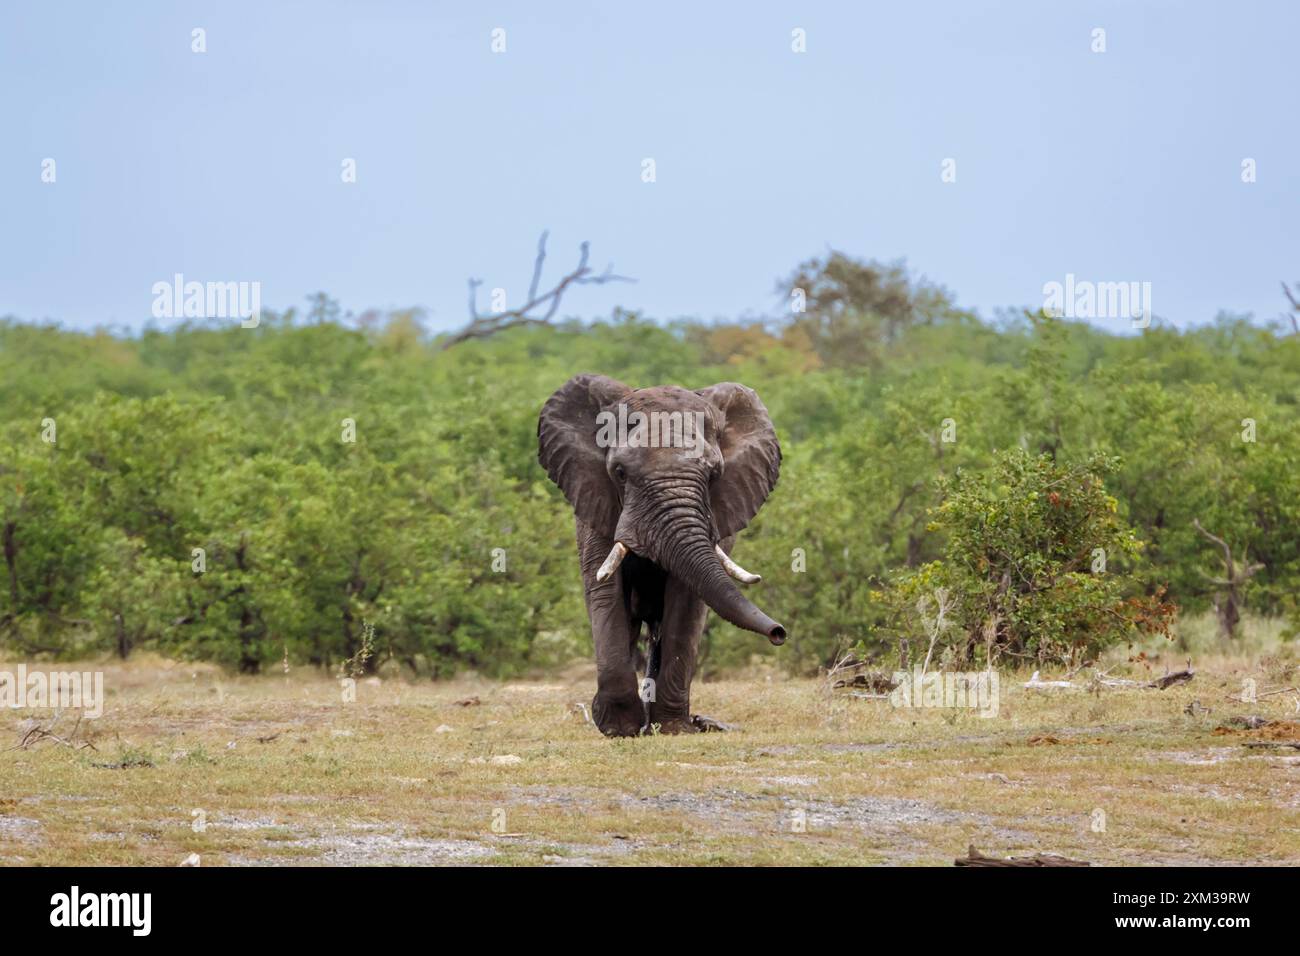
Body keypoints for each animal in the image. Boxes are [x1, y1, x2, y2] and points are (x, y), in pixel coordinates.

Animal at [538, 374, 785, 737]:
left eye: (714, 475)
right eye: (620, 473)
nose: (779, 633)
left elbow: (686, 602)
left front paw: (671, 727)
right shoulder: (595, 499)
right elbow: (605, 590)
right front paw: (618, 727)